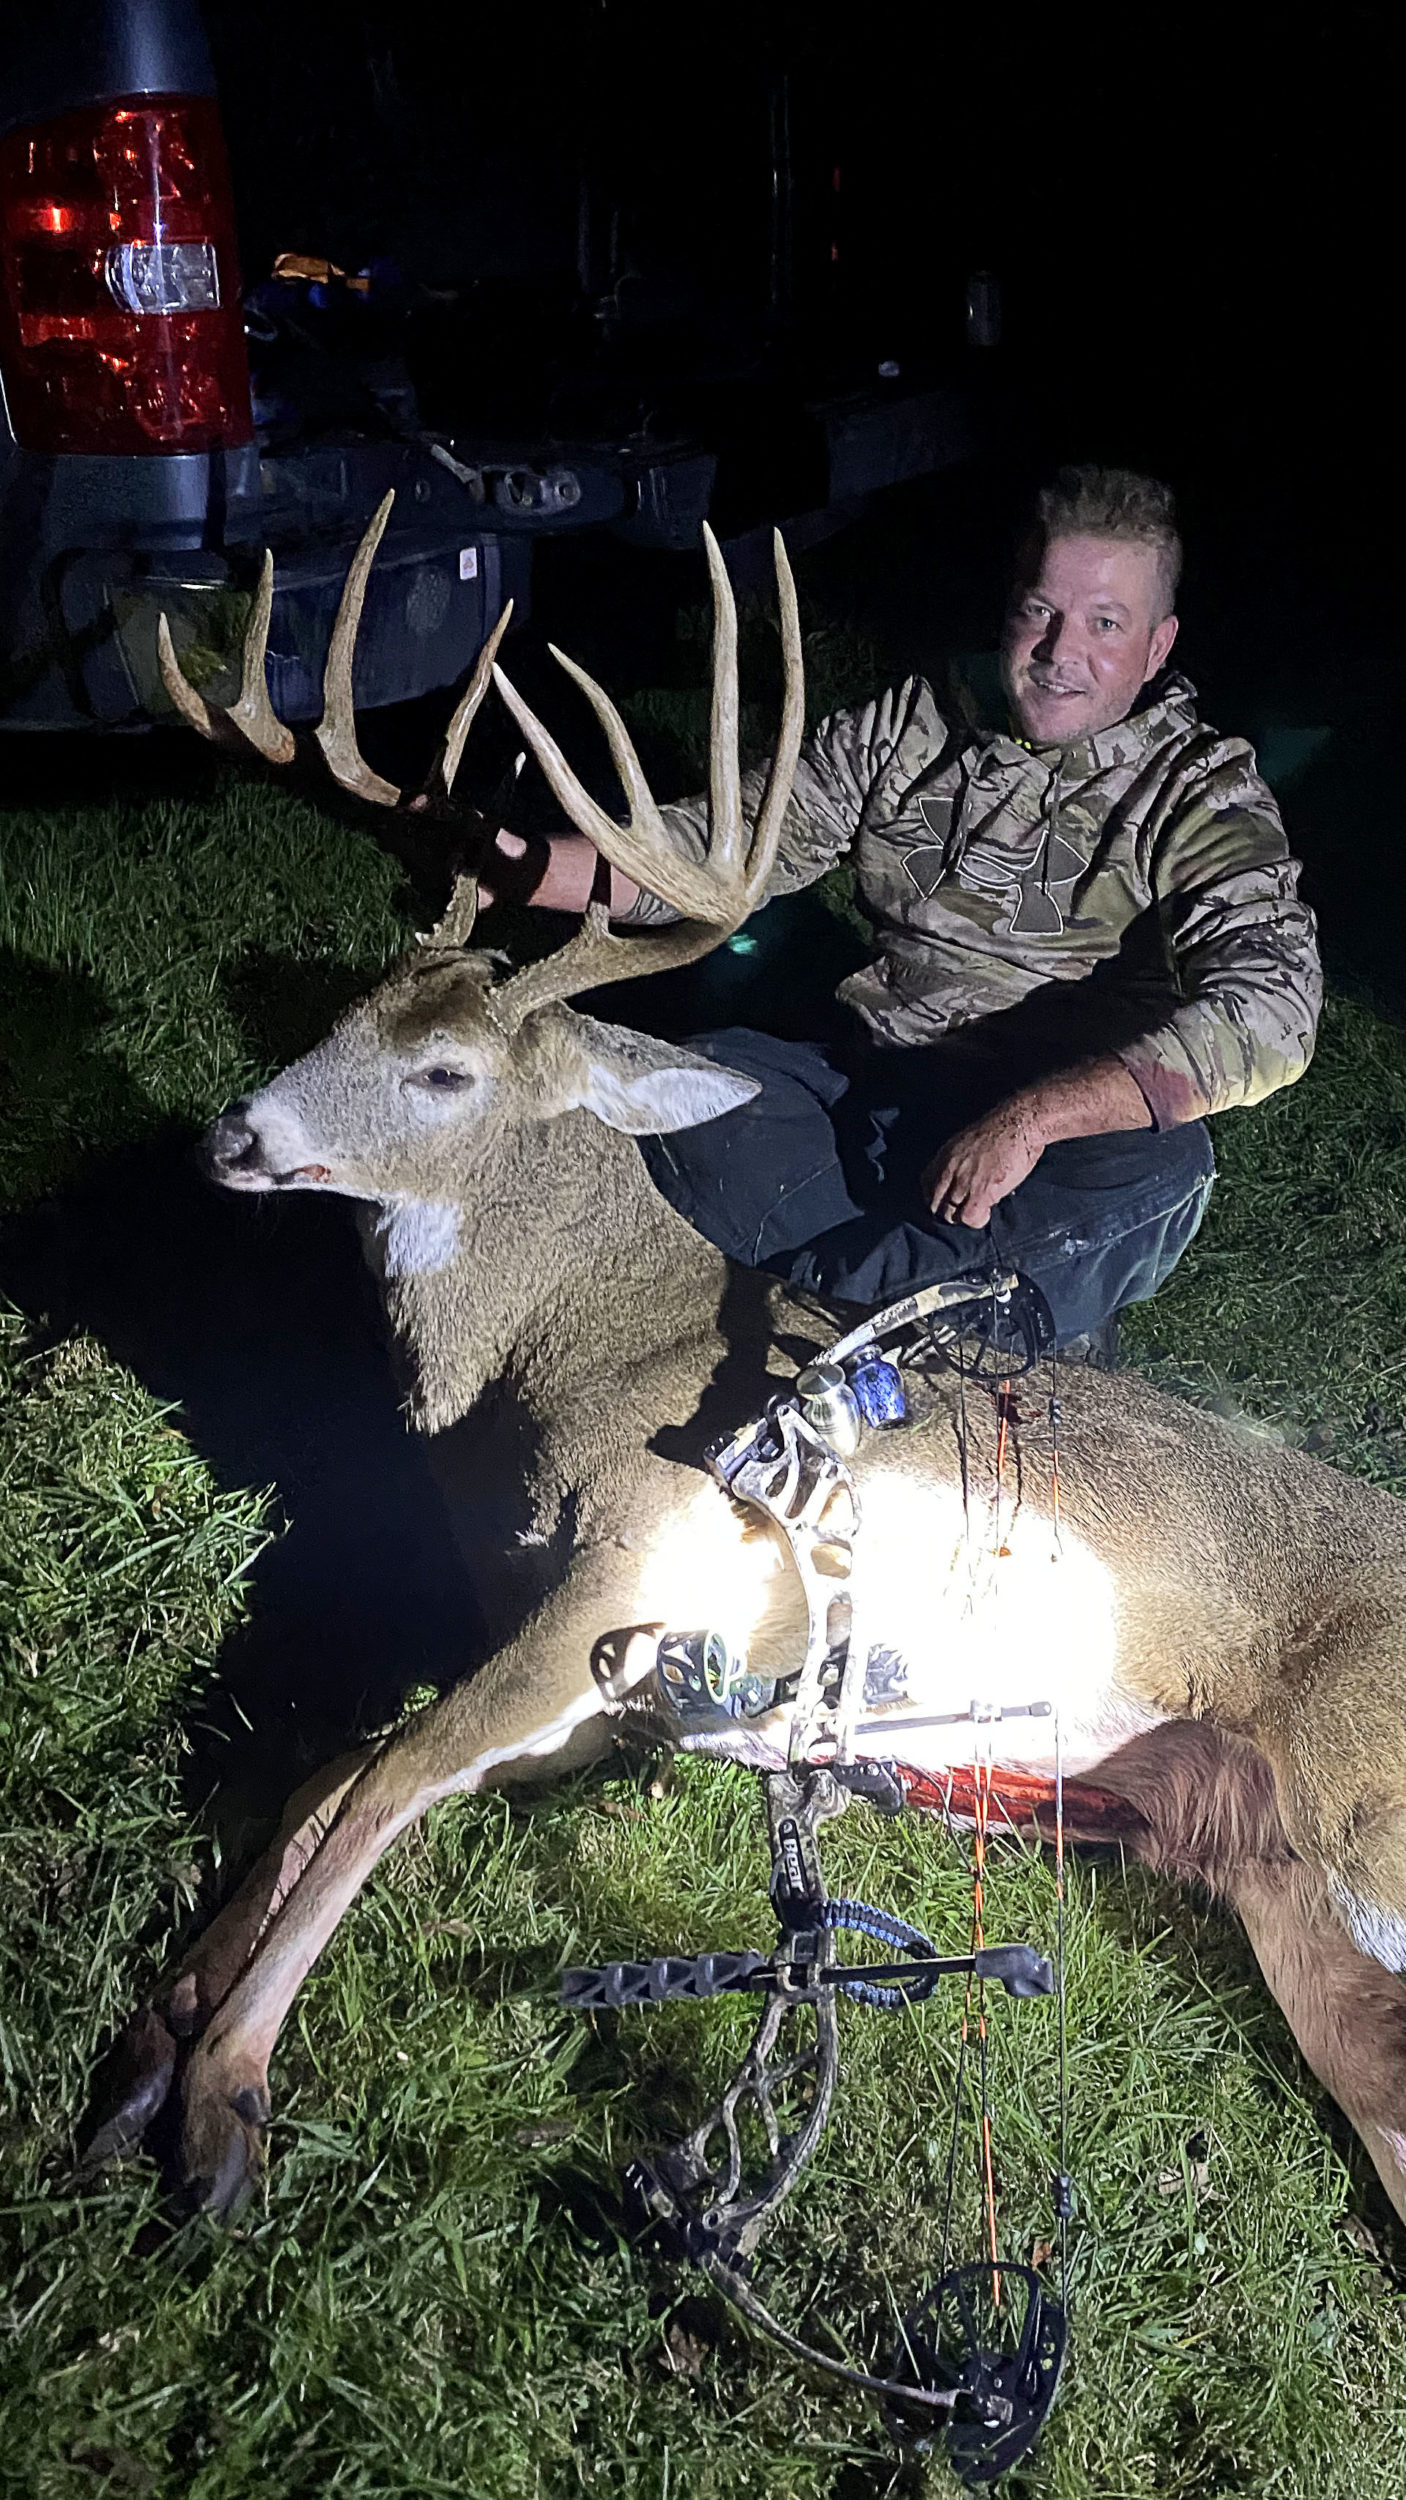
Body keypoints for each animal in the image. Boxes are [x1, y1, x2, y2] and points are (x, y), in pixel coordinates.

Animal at [88, 493, 1406, 2244]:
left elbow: (386, 1777)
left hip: (1361, 1838)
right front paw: (149, 2048)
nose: (233, 1137)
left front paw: (221, 2105)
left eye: (442, 1072)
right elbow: (339, 1766)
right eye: (355, 1008)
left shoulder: (620, 1586)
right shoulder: (603, 1675)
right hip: (1279, 1894)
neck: (554, 1356)